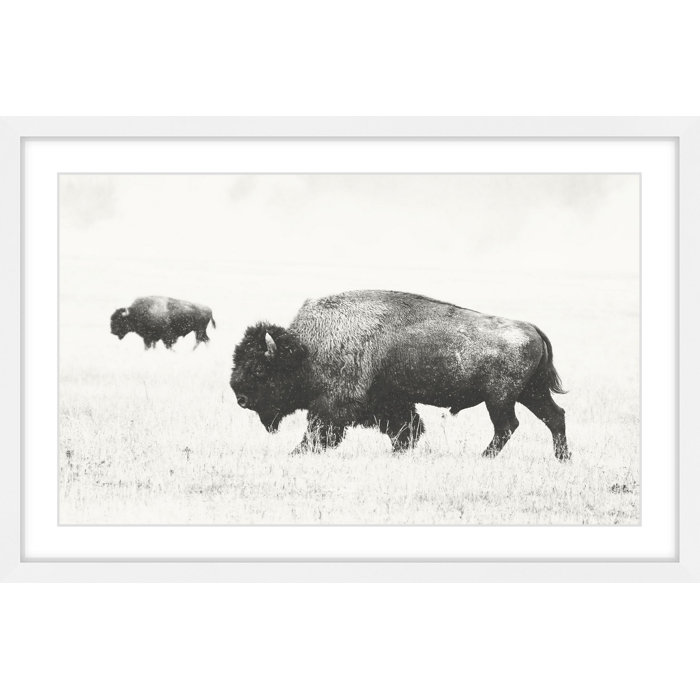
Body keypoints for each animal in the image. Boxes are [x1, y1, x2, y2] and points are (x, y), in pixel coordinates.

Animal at [230, 290, 570, 460]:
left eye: (259, 369)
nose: (241, 398)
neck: (307, 349)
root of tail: (531, 328)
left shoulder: (333, 404)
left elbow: (319, 431)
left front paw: (296, 453)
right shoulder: (391, 402)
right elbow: (407, 428)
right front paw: (399, 451)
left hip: (500, 398)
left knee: (508, 426)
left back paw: (483, 457)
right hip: (530, 393)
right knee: (554, 416)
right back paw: (562, 458)